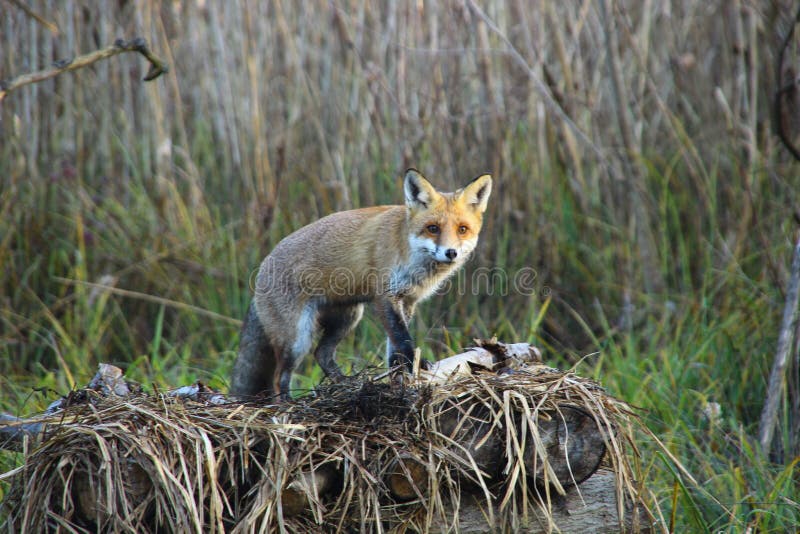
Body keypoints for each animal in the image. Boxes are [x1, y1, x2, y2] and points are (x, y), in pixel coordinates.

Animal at [230, 169, 492, 399]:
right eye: (433, 228)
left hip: (348, 317)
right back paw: (286, 405)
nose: (451, 253)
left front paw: (398, 376)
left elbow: (393, 345)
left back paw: (345, 384)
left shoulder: (407, 300)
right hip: (297, 339)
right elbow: (402, 338)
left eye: (462, 229)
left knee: (321, 354)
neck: (409, 252)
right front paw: (414, 365)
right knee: (280, 376)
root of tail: (261, 270)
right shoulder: (386, 296)